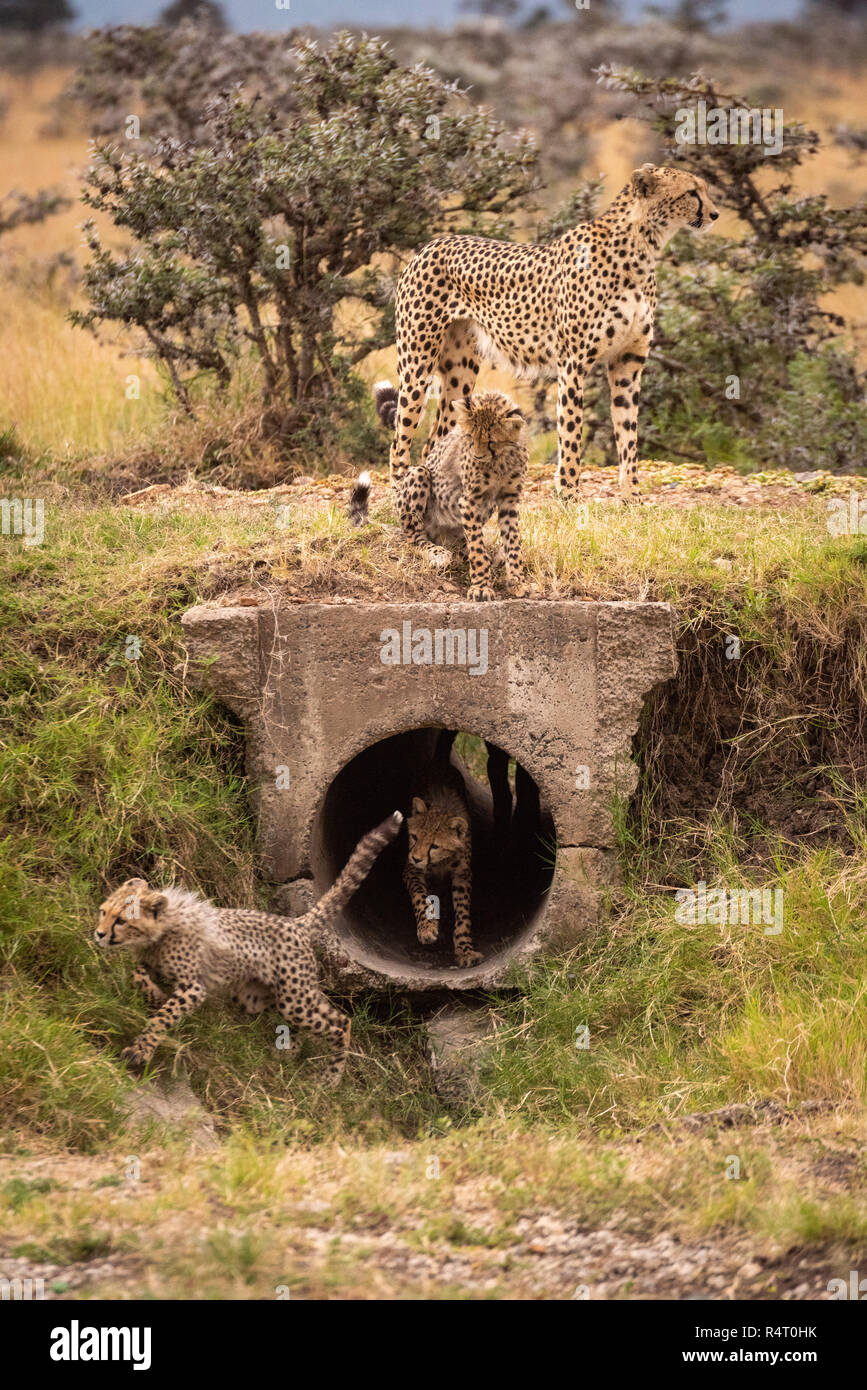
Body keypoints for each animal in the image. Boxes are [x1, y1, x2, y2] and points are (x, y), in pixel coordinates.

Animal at [94, 811, 403, 1086]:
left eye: (121, 920)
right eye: (103, 912)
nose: (98, 935)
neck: (163, 929)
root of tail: (296, 923)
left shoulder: (194, 986)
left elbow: (162, 1018)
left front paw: (140, 1050)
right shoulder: (153, 963)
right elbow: (139, 974)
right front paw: (154, 993)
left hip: (293, 999)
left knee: (340, 1023)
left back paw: (330, 1078)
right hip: (260, 996)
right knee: (328, 1015)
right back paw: (293, 1050)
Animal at [353, 380, 528, 602]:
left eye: (491, 442)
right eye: (470, 437)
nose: (477, 456)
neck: (501, 459)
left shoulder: (509, 499)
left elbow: (513, 542)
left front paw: (517, 581)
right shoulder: (470, 500)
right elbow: (478, 549)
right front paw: (481, 586)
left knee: (463, 542)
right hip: (419, 474)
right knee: (414, 537)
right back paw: (437, 552)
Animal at [387, 163, 719, 503]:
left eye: (703, 189)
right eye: (692, 192)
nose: (715, 214)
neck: (641, 248)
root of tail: (429, 245)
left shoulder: (628, 362)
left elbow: (628, 433)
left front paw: (632, 496)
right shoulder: (573, 362)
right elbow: (571, 429)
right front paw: (569, 494)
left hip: (460, 372)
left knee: (434, 439)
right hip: (417, 363)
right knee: (400, 438)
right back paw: (403, 489)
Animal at [405, 734, 482, 968]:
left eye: (434, 846)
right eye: (415, 837)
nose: (416, 858)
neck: (441, 862)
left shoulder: (462, 874)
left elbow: (463, 913)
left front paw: (465, 950)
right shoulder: (411, 871)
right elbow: (421, 899)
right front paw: (427, 929)